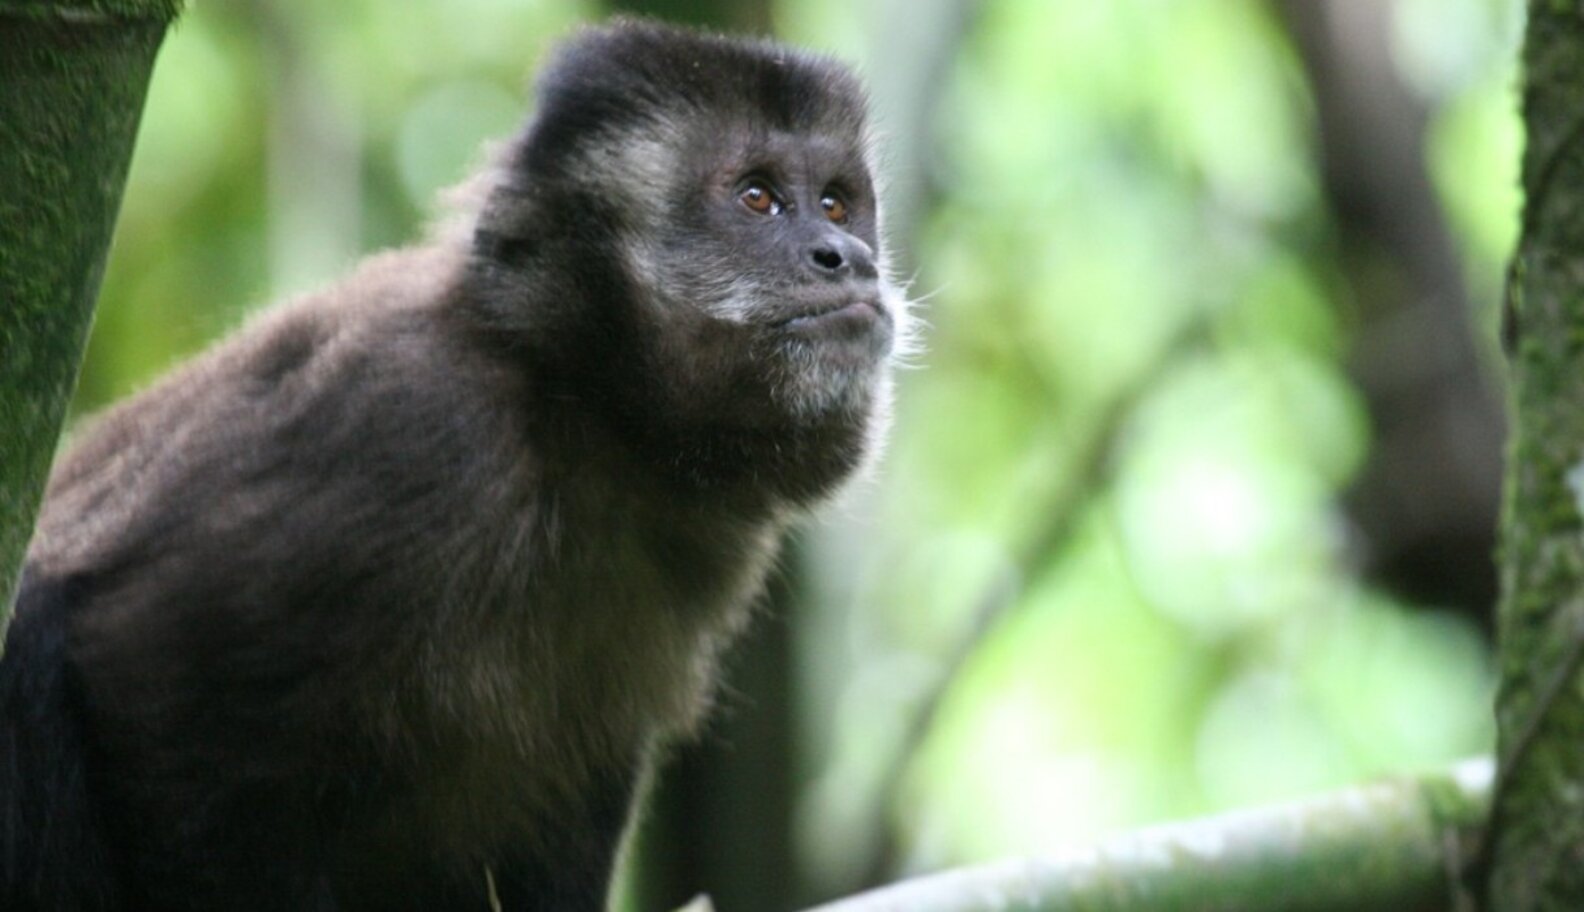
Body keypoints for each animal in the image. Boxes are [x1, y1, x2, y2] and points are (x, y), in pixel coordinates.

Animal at [0, 19, 908, 911]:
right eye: (758, 198)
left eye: (836, 203)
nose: (845, 254)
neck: (576, 413)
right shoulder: (411, 428)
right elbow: (134, 673)